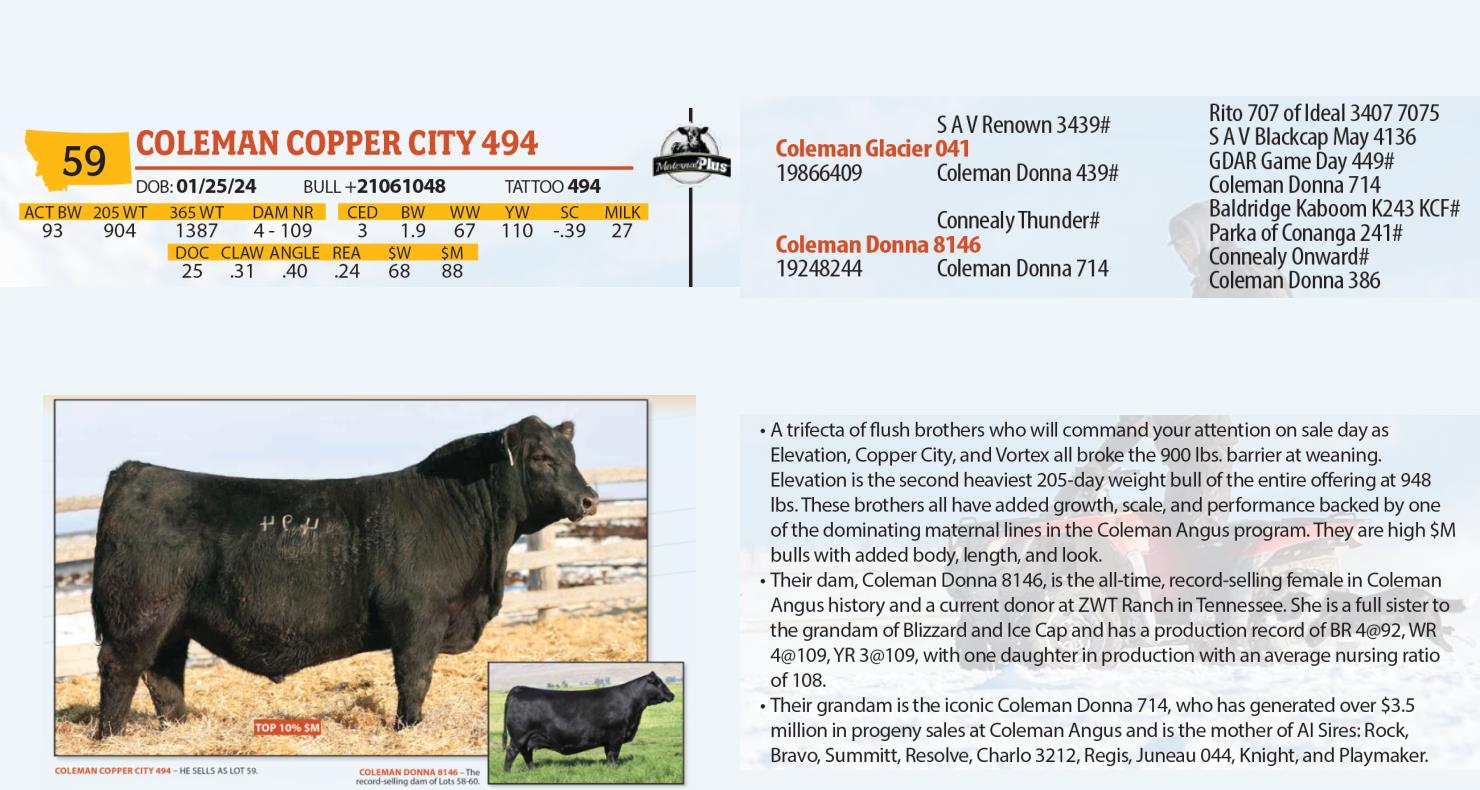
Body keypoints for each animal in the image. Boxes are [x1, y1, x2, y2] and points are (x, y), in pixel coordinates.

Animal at [88, 415, 600, 739]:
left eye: (571, 453)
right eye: (540, 457)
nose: (590, 499)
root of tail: (135, 470)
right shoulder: (419, 619)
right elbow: (415, 678)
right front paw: (409, 728)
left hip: (172, 621)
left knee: (163, 676)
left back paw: (178, 728)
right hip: (137, 613)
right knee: (120, 669)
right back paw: (109, 736)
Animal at [501, 671, 675, 771]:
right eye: (659, 683)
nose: (672, 695)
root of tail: (519, 688)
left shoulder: (609, 739)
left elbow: (608, 755)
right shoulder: (616, 735)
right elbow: (614, 754)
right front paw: (615, 769)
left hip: (528, 737)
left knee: (527, 754)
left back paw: (534, 770)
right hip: (519, 736)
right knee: (511, 753)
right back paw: (507, 773)